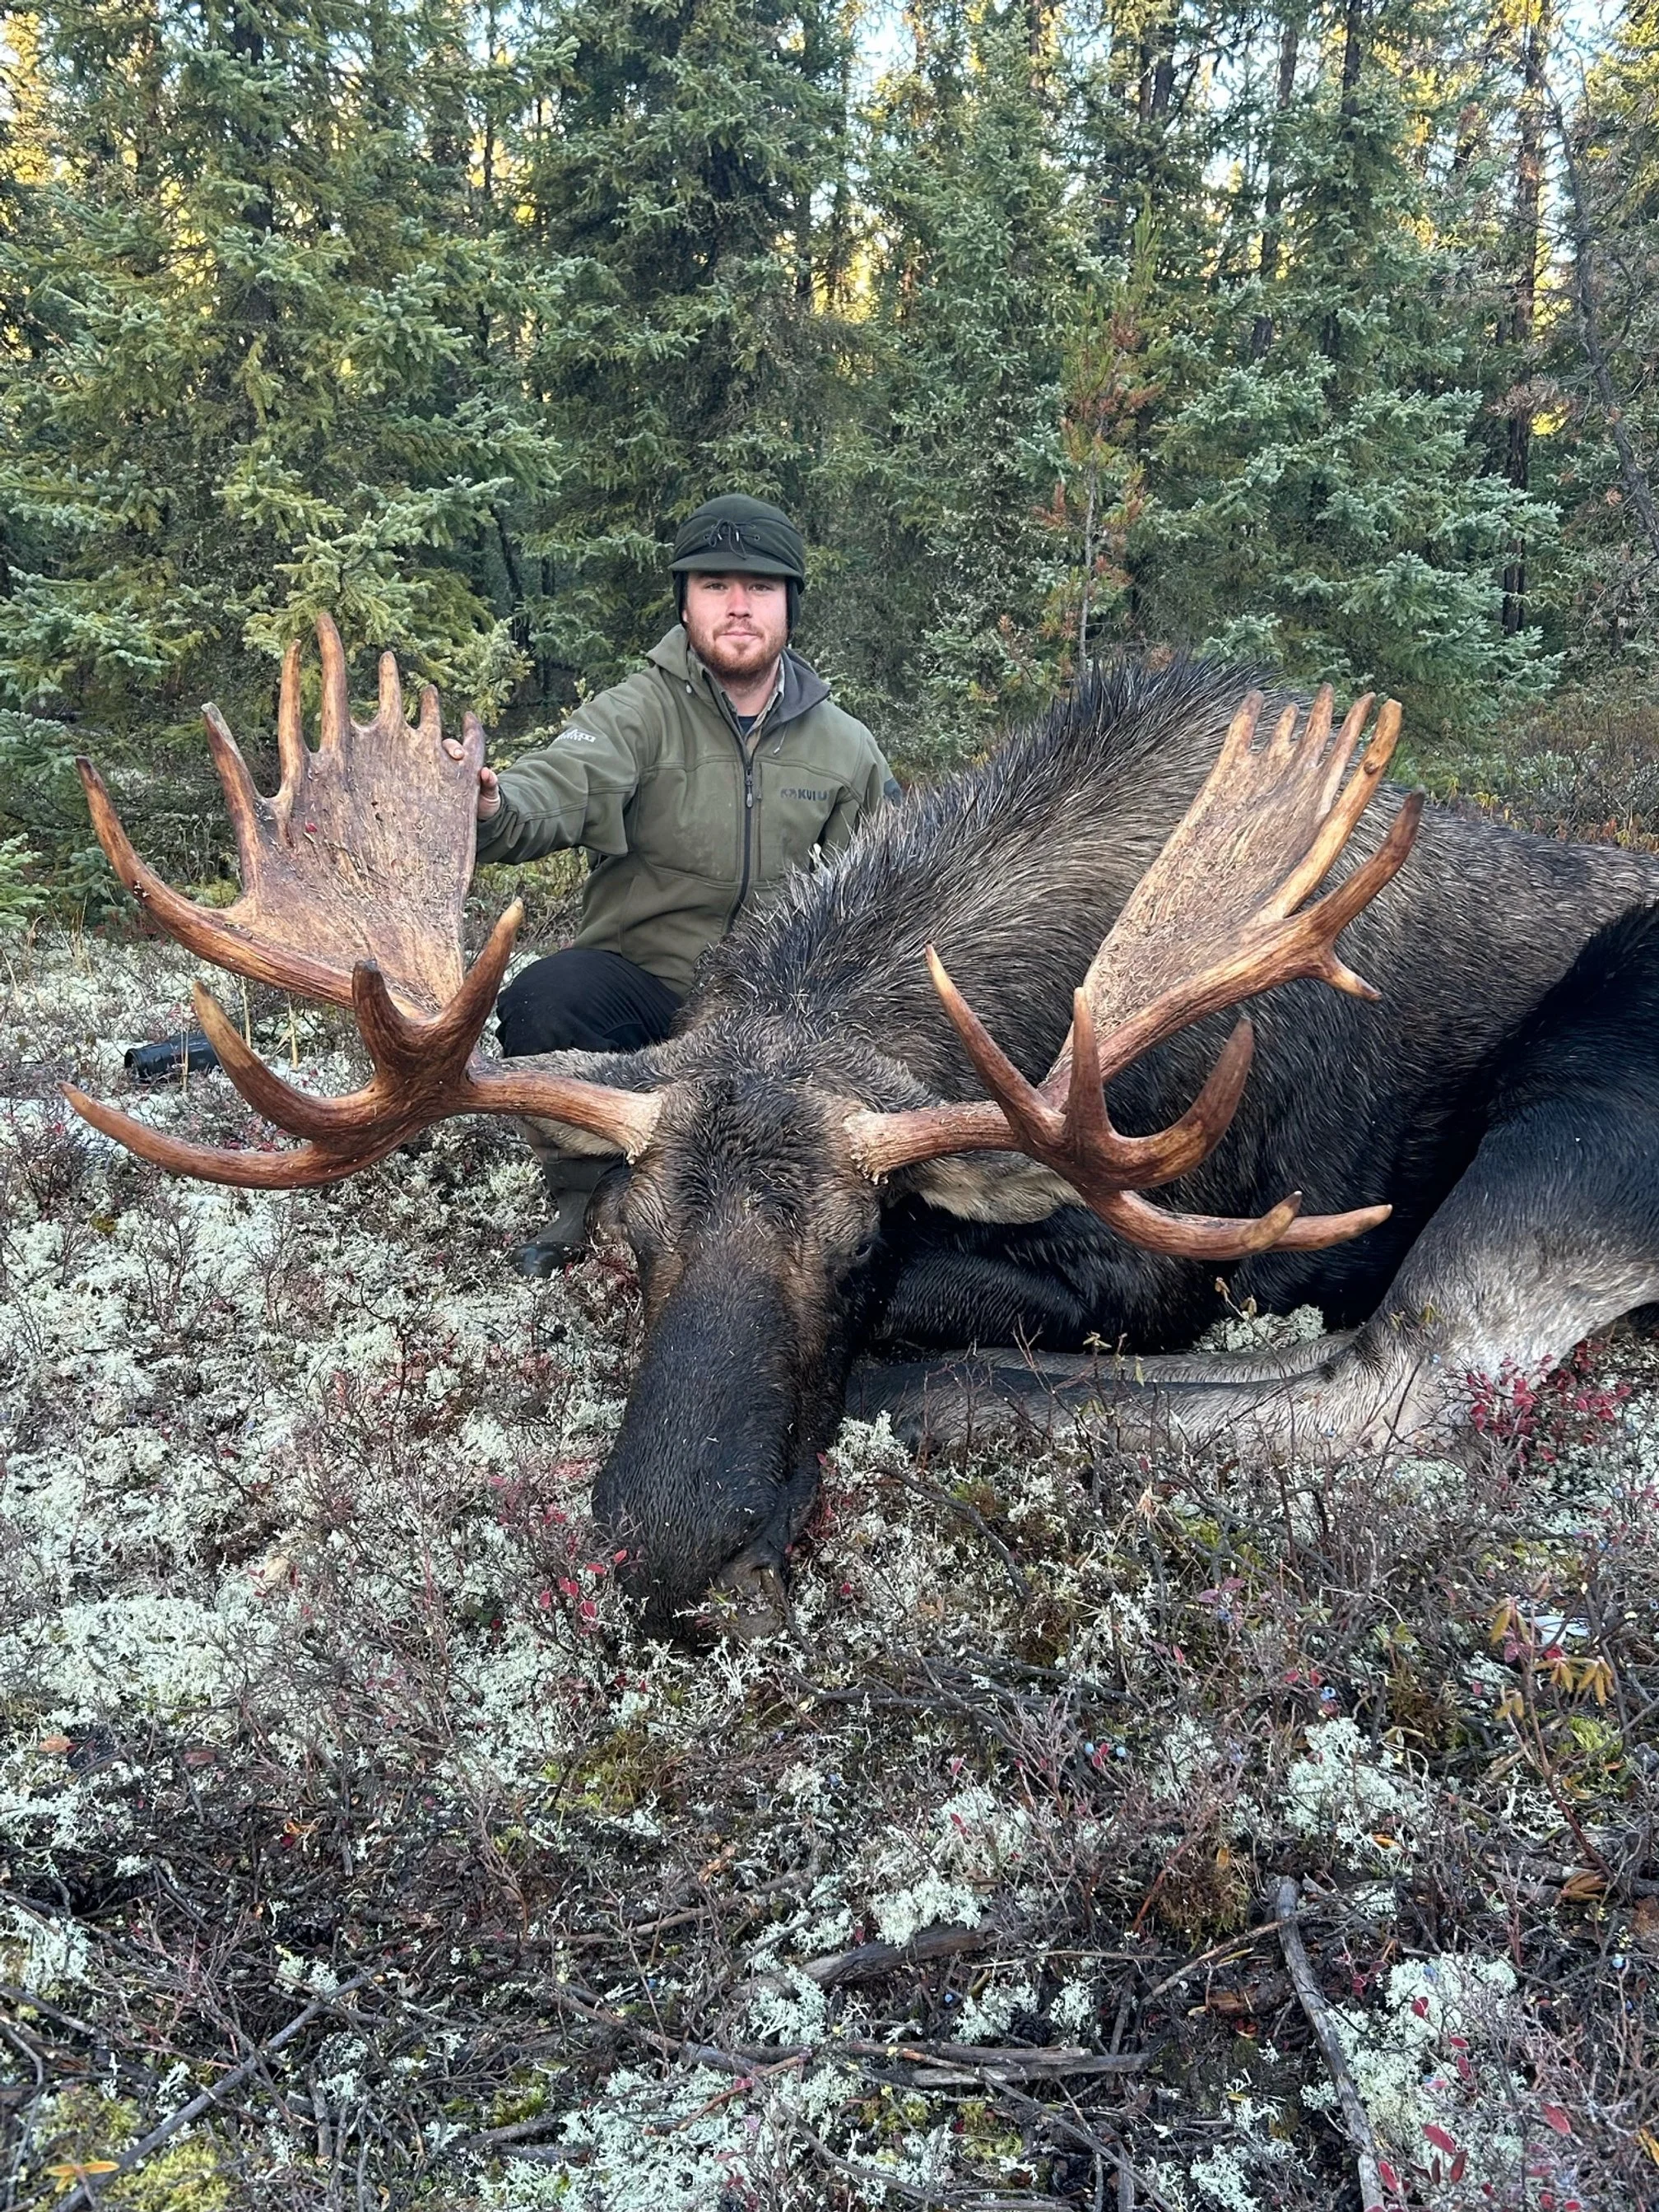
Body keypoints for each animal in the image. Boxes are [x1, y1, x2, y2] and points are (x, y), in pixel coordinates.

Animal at [64, 617, 1659, 1630]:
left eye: (853, 1246)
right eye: (638, 1244)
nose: (671, 1558)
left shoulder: (1171, 1251)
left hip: (1592, 1078)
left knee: (1399, 1382)